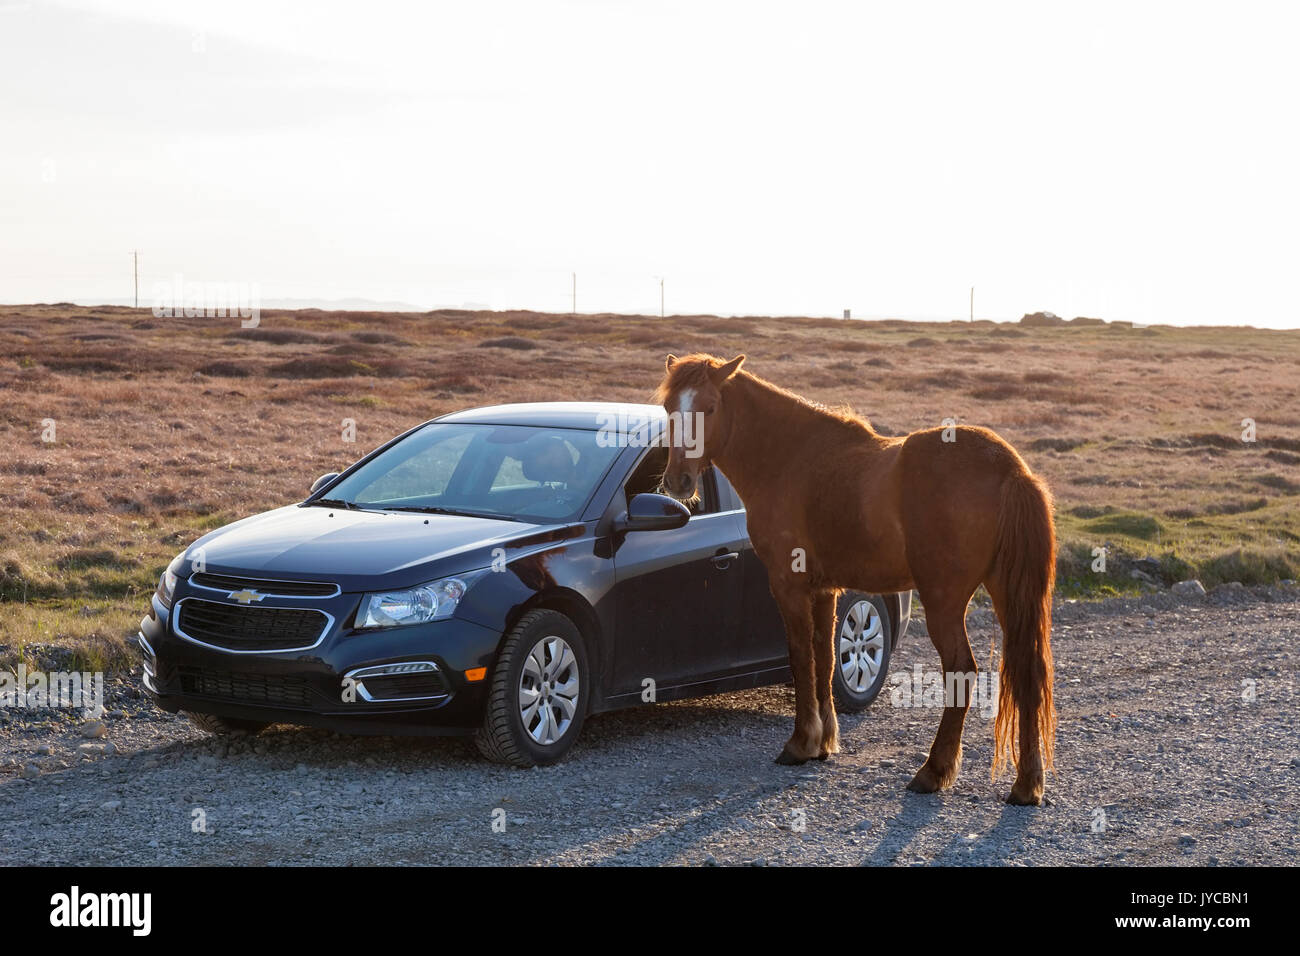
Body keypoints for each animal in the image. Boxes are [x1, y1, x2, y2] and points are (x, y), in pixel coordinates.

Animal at [653, 352, 1056, 805]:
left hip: (944, 600)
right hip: (1007, 593)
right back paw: (1027, 783)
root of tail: (1009, 469)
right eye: (669, 408)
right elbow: (826, 657)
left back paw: (933, 771)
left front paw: (801, 743)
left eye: (709, 407)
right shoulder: (825, 589)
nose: (678, 481)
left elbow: (801, 659)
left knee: (961, 670)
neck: (789, 458)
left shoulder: (788, 585)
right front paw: (825, 741)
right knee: (1028, 670)